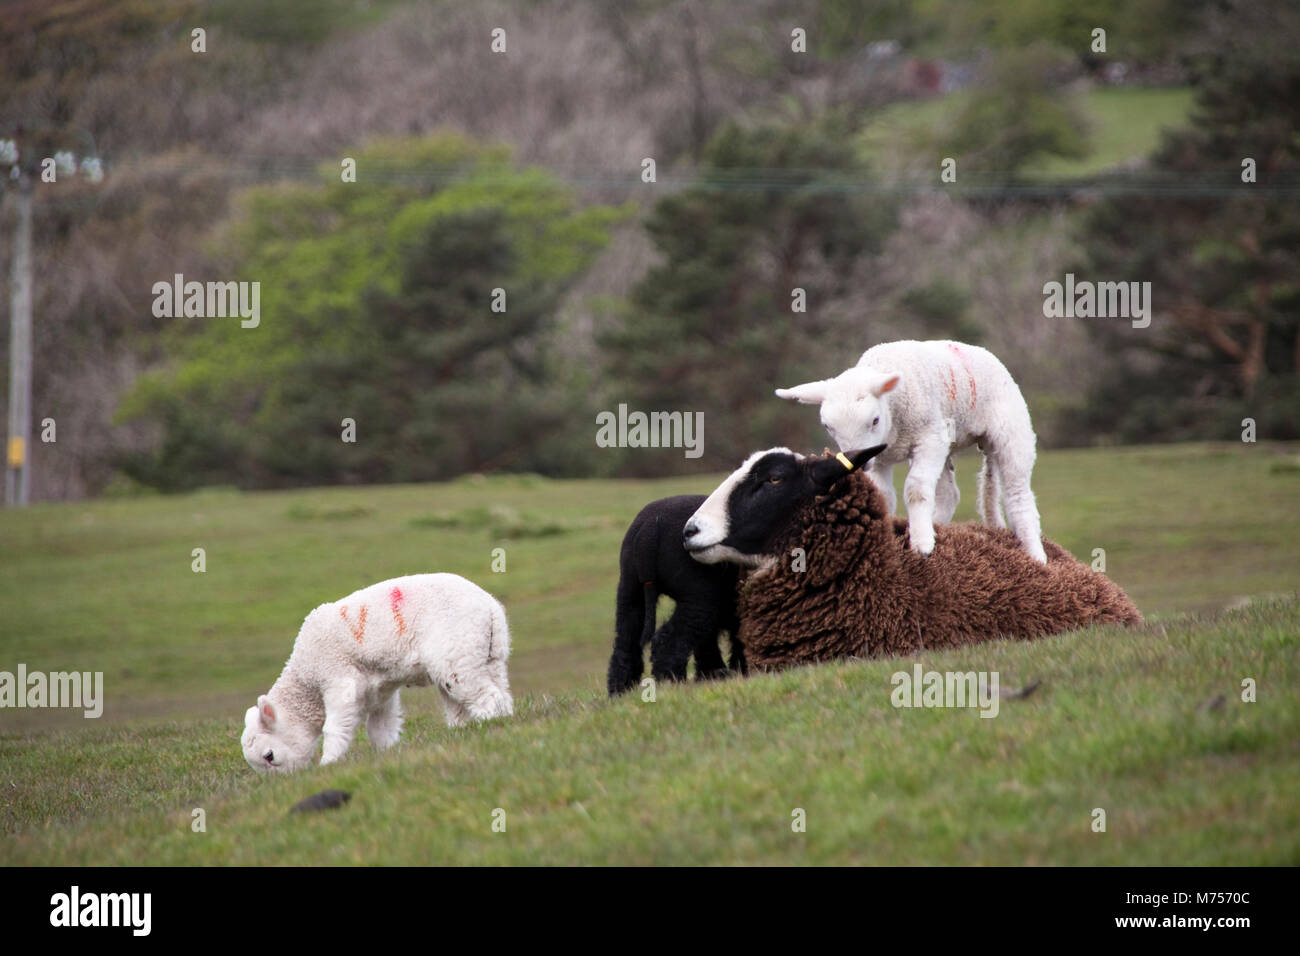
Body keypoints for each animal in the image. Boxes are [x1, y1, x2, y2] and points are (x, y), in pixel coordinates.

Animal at [241, 573, 512, 773]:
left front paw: (328, 763)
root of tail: (490, 607)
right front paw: (388, 752)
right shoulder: (380, 692)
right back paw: (482, 726)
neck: (306, 677)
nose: (288, 782)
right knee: (493, 695)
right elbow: (380, 726)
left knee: (486, 697)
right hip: (487, 655)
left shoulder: (338, 677)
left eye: (269, 756)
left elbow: (335, 726)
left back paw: (487, 725)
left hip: (457, 654)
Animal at [607, 495, 743, 695]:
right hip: (698, 592)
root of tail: (650, 528)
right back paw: (671, 683)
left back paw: (620, 692)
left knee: (625, 642)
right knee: (669, 640)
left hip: (629, 586)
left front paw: (714, 675)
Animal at [775, 339, 1047, 563]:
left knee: (1018, 496)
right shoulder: (881, 457)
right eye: (827, 427)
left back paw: (1036, 555)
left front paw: (921, 544)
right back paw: (935, 525)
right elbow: (884, 495)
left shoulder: (928, 439)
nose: (858, 463)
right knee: (950, 494)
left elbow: (916, 489)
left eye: (874, 420)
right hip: (946, 441)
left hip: (1010, 433)